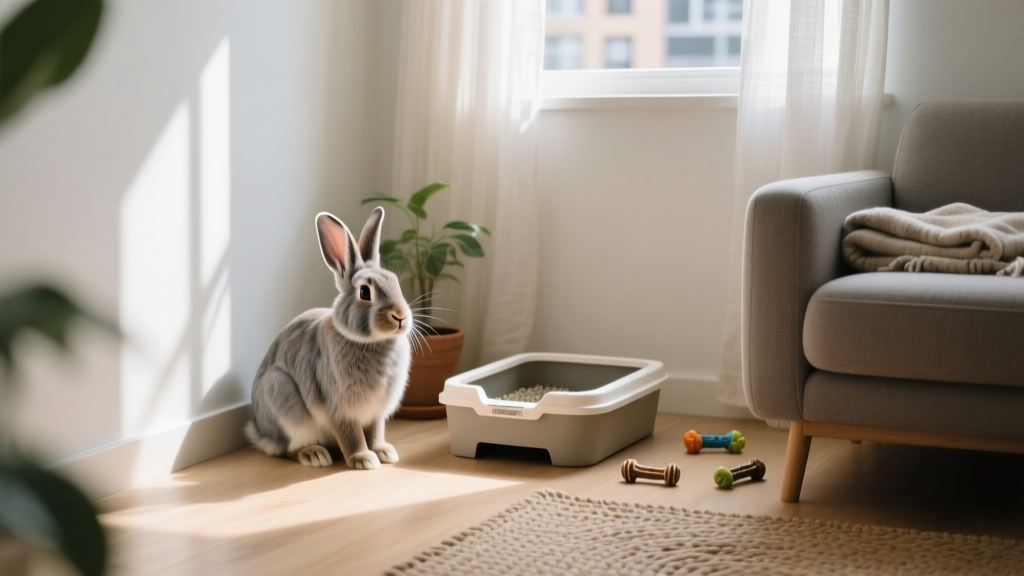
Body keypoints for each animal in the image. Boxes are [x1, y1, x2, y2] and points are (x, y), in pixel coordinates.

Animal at [244, 207, 413, 469]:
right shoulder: (340, 408)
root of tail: (261, 432)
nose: (401, 316)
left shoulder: (376, 413)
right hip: (281, 396)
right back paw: (315, 455)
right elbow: (352, 435)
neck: (370, 341)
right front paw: (364, 460)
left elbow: (375, 432)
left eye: (395, 283)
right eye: (365, 292)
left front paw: (384, 453)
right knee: (287, 449)